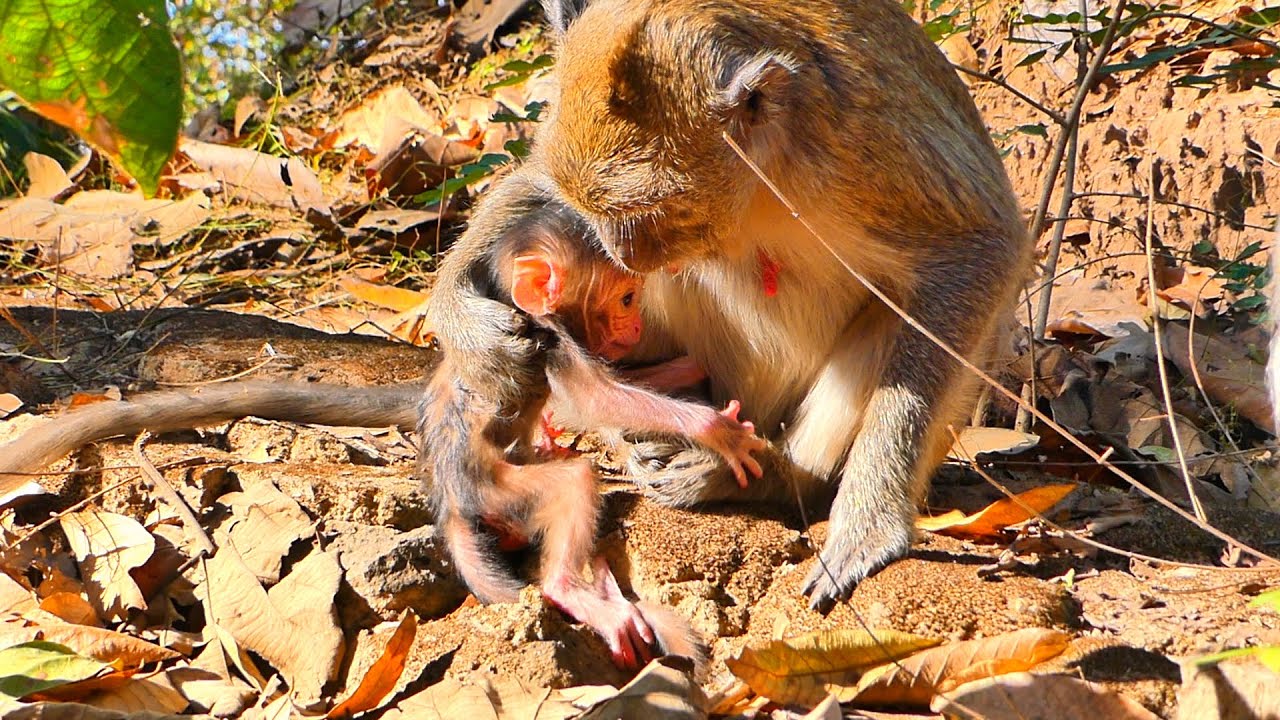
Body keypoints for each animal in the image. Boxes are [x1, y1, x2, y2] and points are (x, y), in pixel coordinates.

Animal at [419, 196, 762, 669]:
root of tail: (449, 501)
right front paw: (717, 431)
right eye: (627, 298)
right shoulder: (549, 337)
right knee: (573, 479)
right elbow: (597, 399)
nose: (637, 326)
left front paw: (693, 368)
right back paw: (569, 589)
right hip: (492, 492)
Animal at [428, 0, 1035, 613]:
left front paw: (869, 522)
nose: (622, 253)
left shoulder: (866, 144)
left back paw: (778, 475)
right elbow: (540, 187)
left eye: (654, 212)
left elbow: (981, 246)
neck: (765, 168)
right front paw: (466, 321)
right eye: (603, 212)